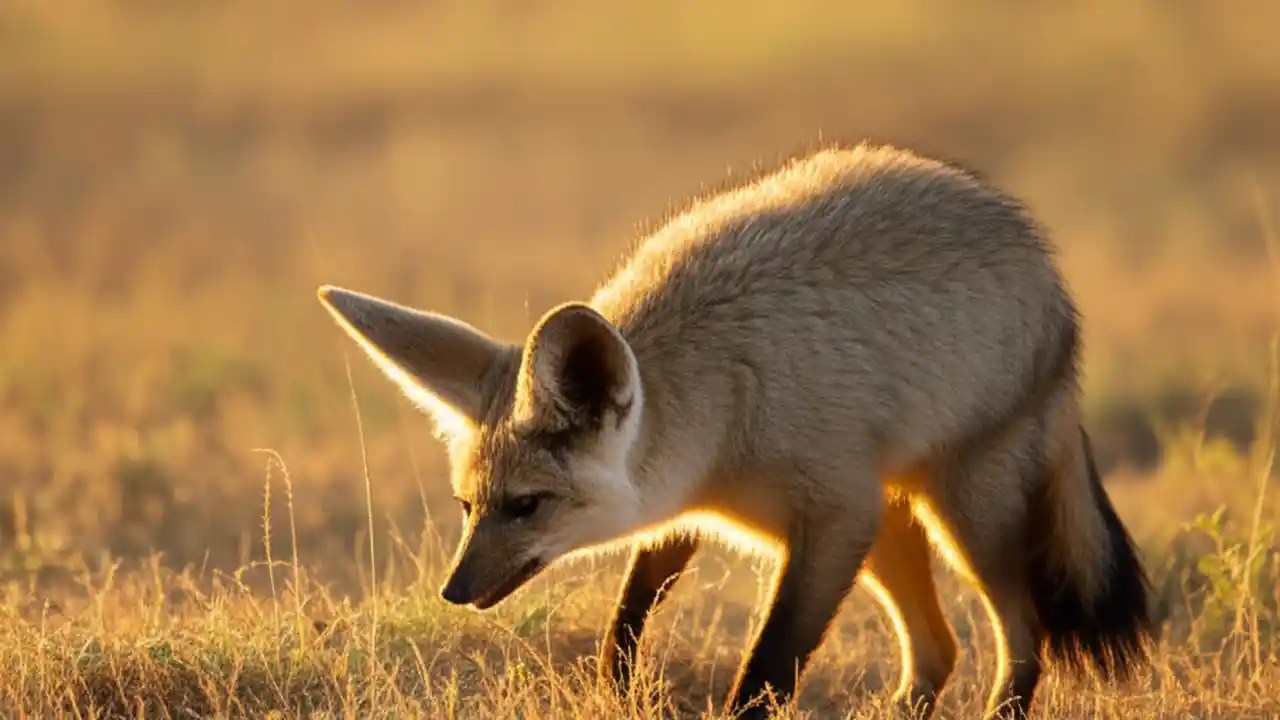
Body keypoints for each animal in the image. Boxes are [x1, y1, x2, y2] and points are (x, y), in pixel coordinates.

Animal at [317, 143, 1153, 719]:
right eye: (466, 508)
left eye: (525, 506)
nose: (454, 591)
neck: (724, 408)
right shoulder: (698, 512)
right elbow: (624, 629)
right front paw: (617, 691)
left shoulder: (832, 521)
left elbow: (766, 672)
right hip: (892, 530)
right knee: (938, 653)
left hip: (961, 519)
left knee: (1021, 641)